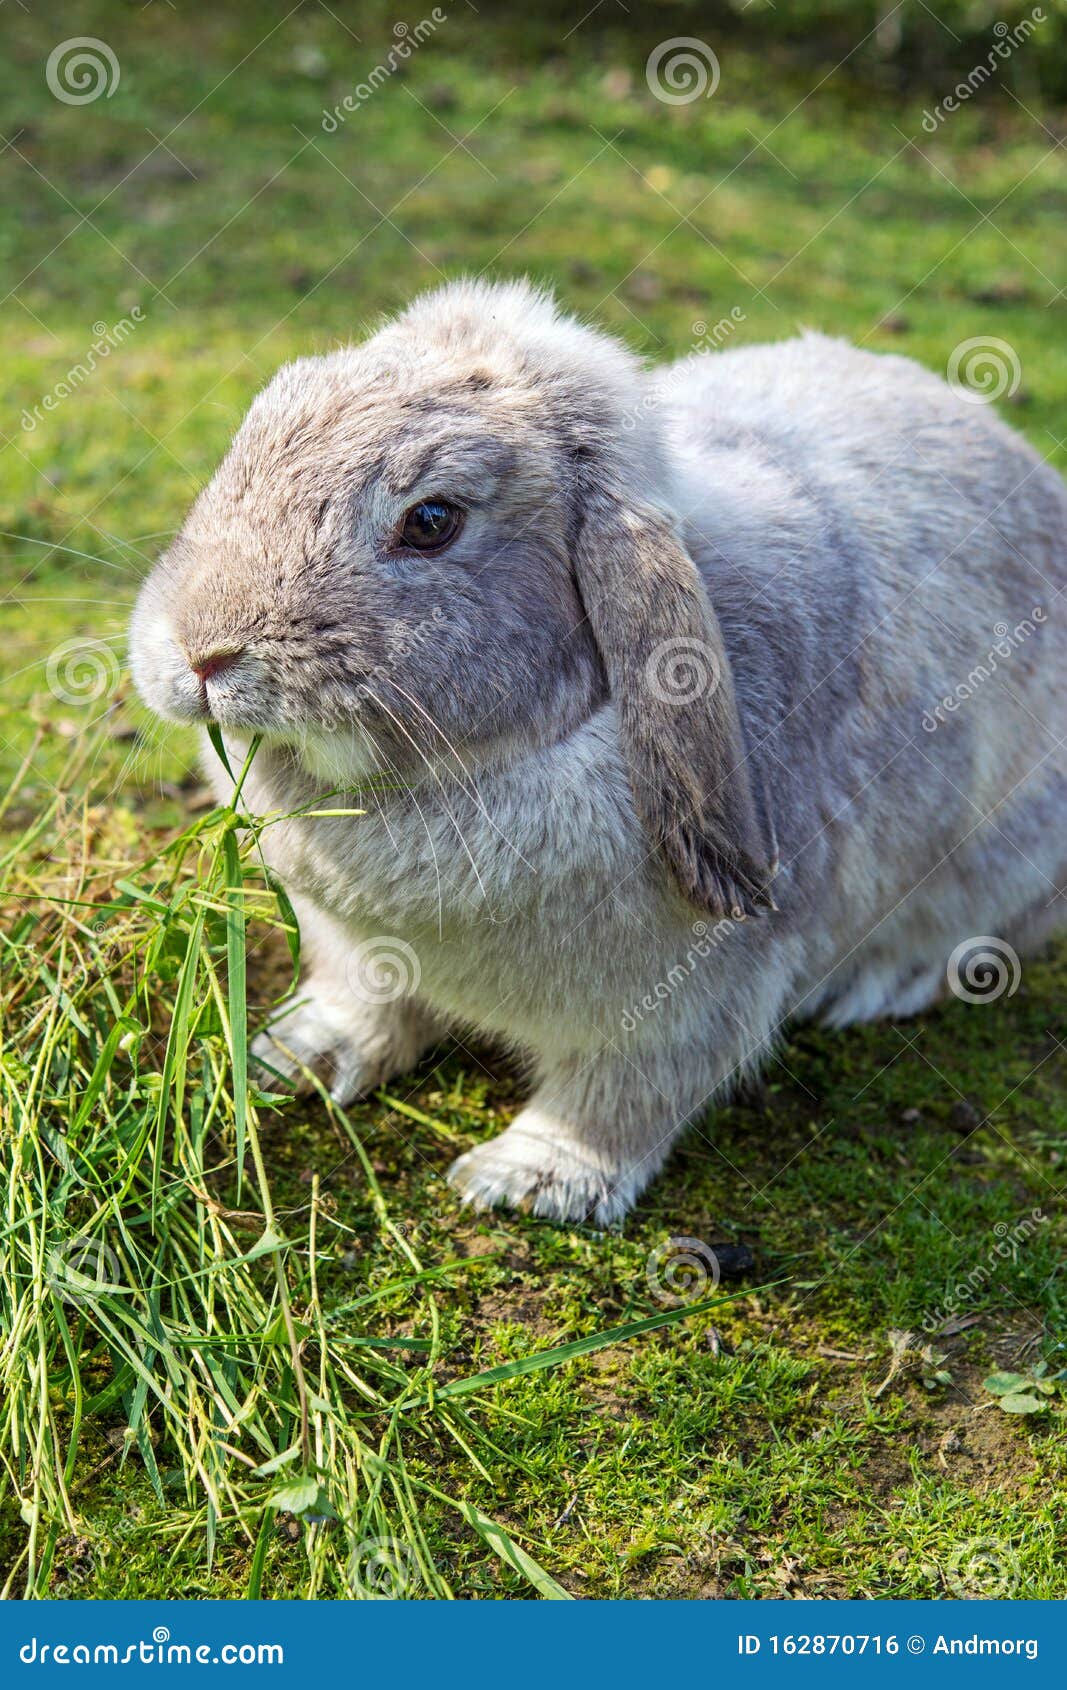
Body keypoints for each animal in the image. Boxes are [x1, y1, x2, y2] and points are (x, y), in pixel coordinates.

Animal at [130, 278, 1067, 1226]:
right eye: (246, 444)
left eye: (431, 520)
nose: (201, 652)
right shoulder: (351, 949)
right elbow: (361, 1002)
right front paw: (298, 1058)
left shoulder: (684, 1009)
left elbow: (615, 1105)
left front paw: (528, 1182)